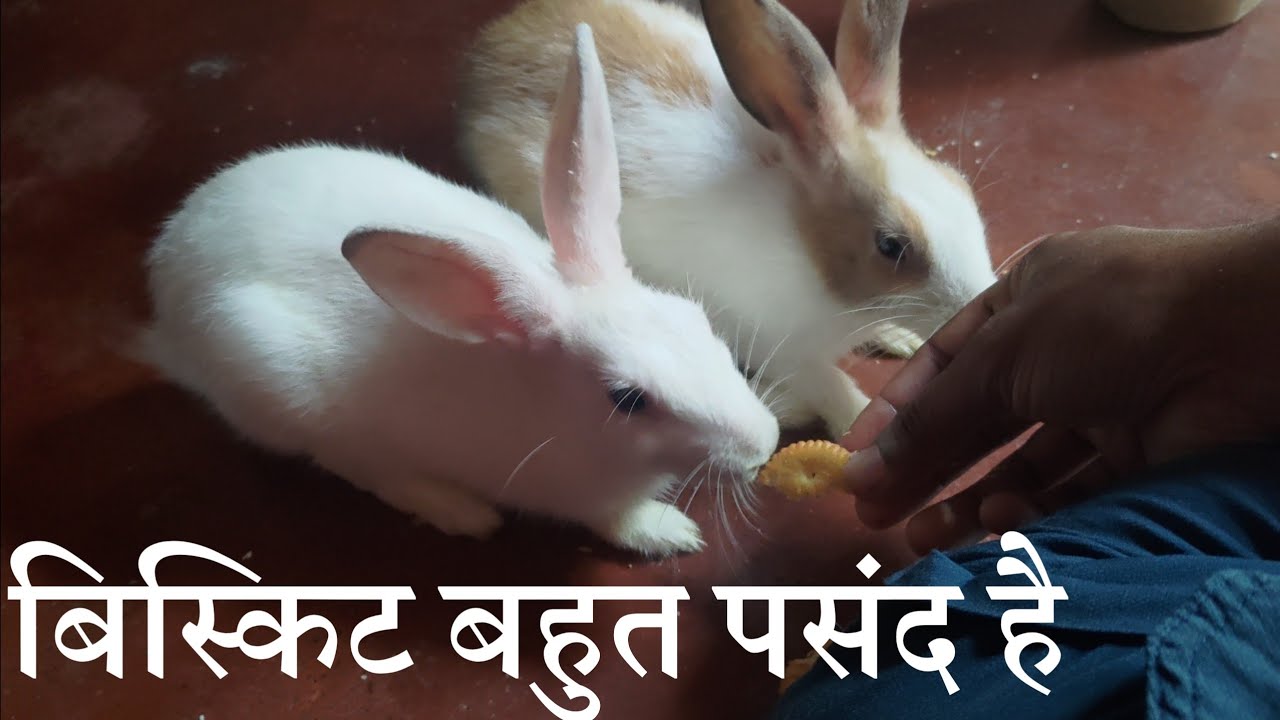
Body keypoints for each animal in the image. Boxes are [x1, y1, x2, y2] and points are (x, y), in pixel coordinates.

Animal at [139, 24, 779, 558]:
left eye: (697, 319)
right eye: (627, 399)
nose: (764, 443)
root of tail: (169, 266)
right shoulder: (581, 497)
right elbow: (615, 520)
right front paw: (672, 533)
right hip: (284, 390)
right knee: (352, 462)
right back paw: (458, 511)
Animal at [457, 0, 997, 440]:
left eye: (961, 187)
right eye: (891, 245)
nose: (975, 300)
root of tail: (486, 50)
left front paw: (901, 340)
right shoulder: (776, 347)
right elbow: (829, 382)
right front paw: (857, 419)